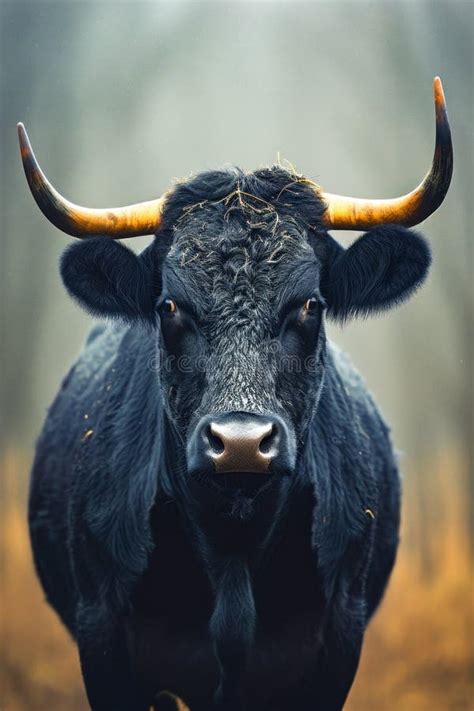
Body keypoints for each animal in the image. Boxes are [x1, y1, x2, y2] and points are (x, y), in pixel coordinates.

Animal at [19, 77, 452, 711]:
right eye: (168, 305)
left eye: (310, 303)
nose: (242, 442)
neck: (233, 553)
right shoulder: (102, 639)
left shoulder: (336, 643)